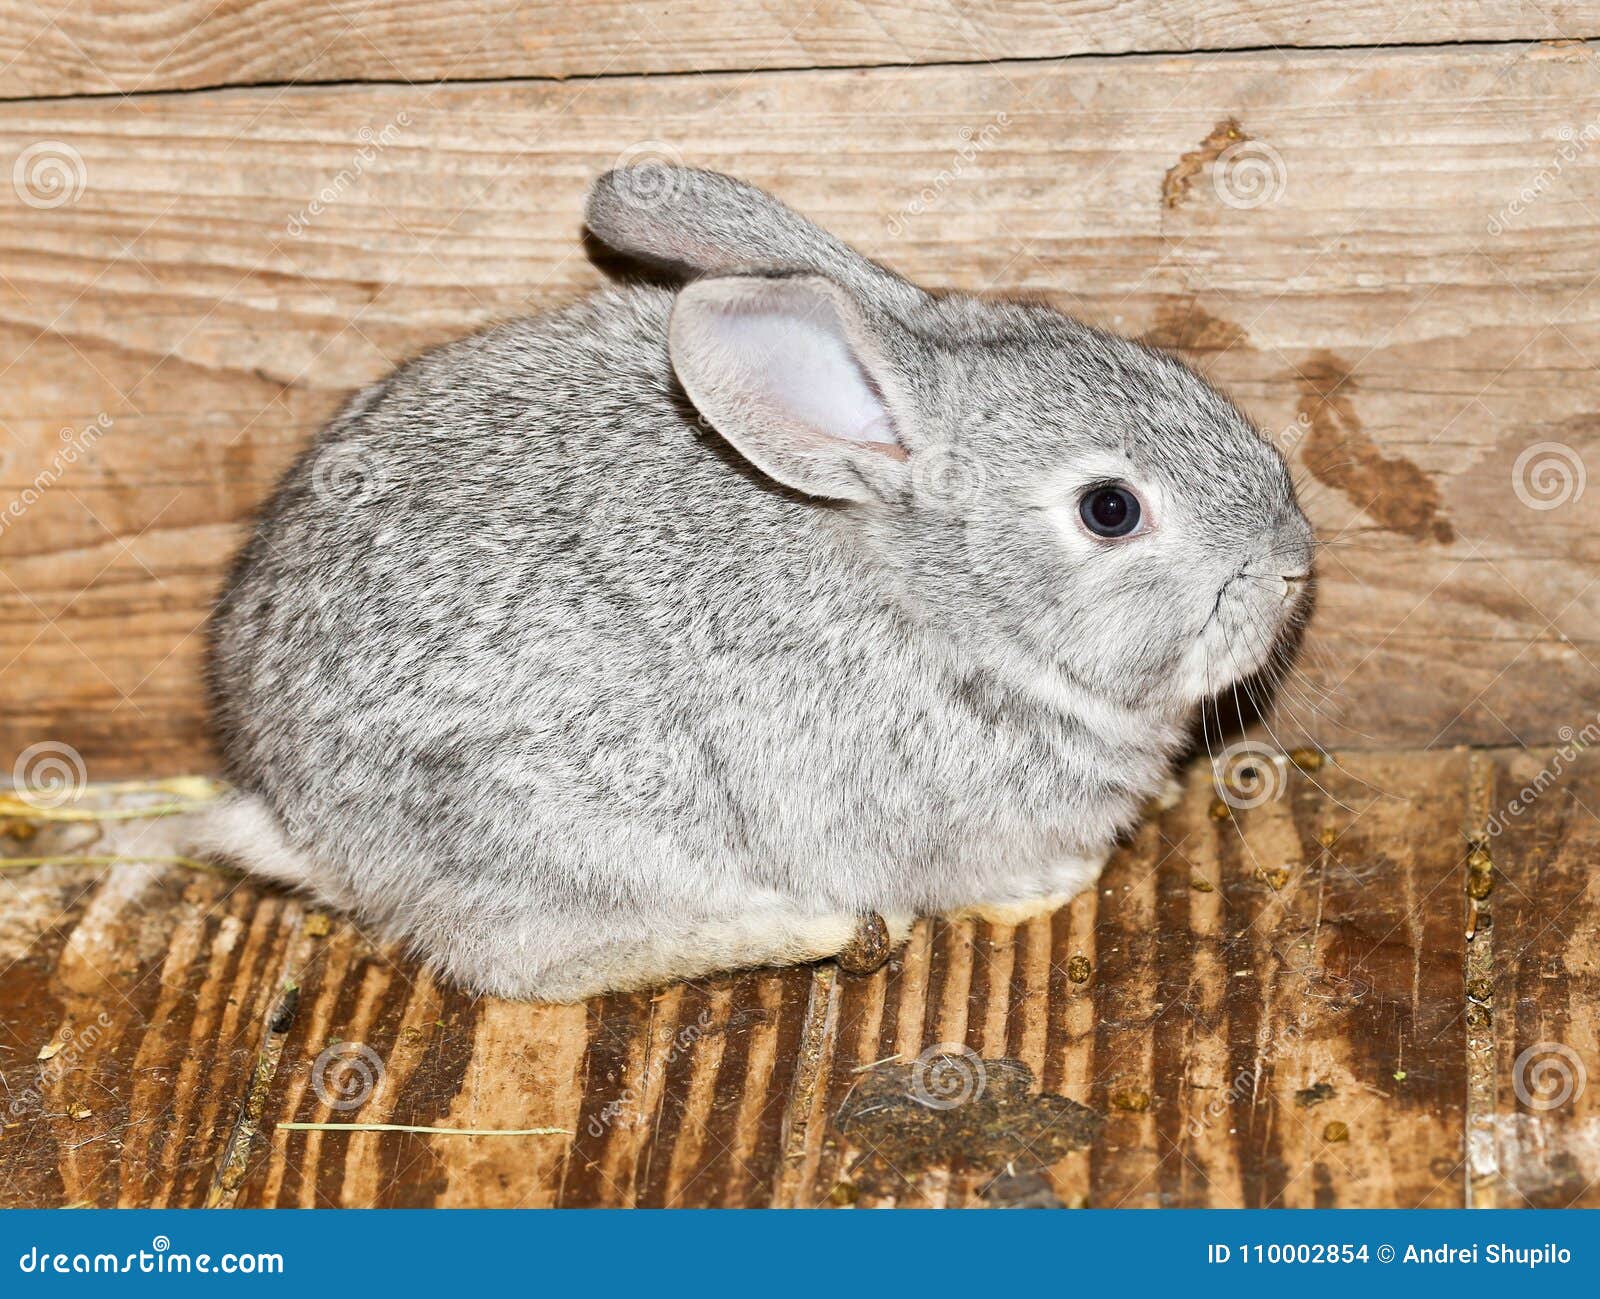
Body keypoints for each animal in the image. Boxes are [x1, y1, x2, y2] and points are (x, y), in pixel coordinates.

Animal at [198, 164, 1315, 1003]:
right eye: (1110, 510)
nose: (1294, 562)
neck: (944, 605)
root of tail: (294, 816)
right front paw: (1048, 887)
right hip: (568, 832)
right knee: (532, 964)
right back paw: (817, 927)